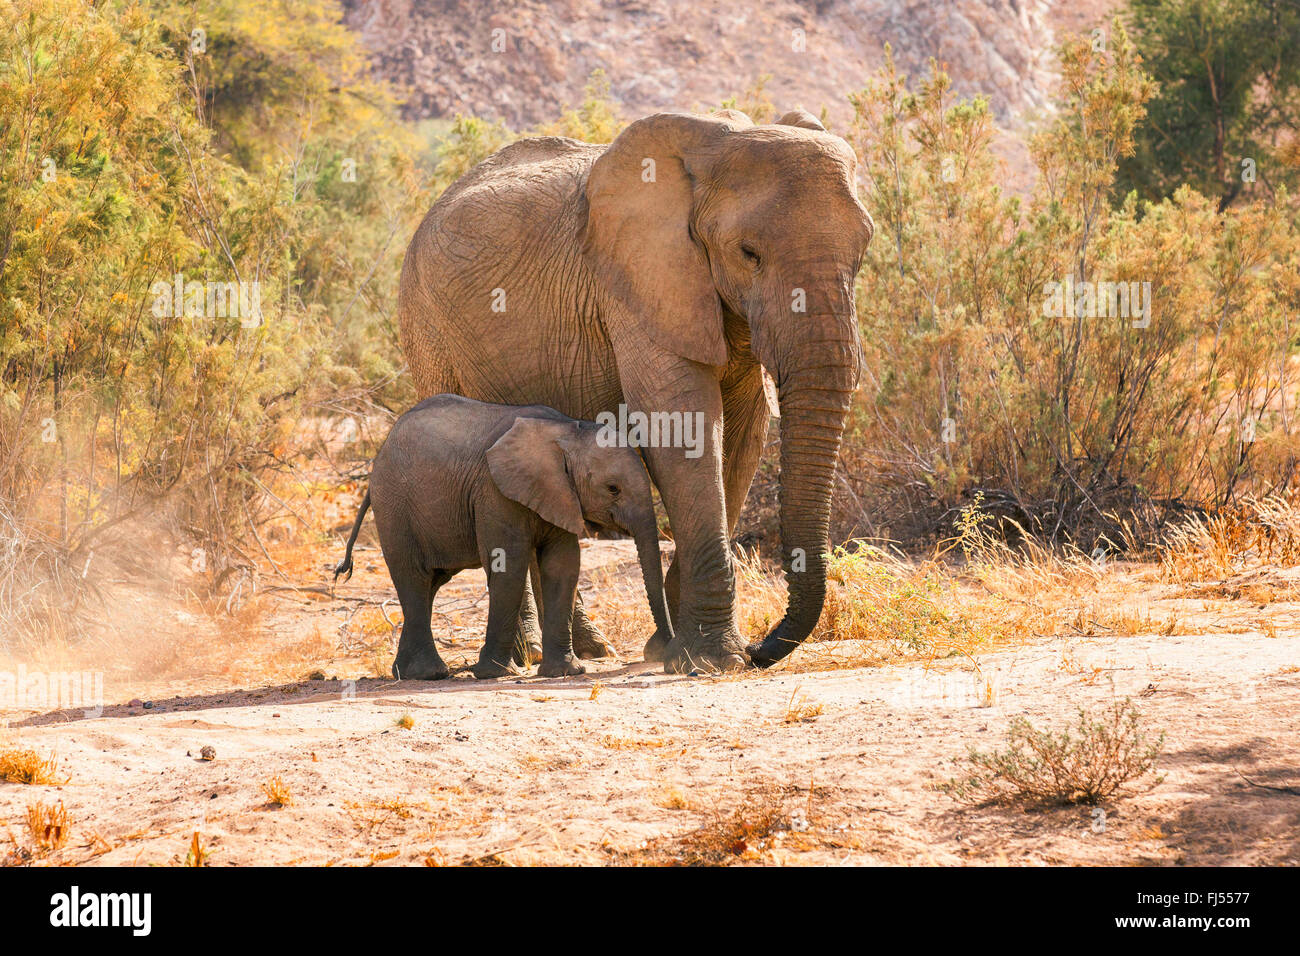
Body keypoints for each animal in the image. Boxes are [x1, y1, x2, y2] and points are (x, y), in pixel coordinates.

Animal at [333, 394, 673, 680]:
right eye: (613, 489)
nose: (662, 649)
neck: (567, 432)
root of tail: (378, 460)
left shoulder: (561, 493)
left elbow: (563, 566)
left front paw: (565, 672)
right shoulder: (494, 491)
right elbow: (508, 565)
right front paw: (496, 674)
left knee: (430, 584)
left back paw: (403, 673)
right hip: (395, 509)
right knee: (414, 579)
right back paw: (431, 674)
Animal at [397, 107, 872, 674]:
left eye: (863, 251)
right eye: (748, 253)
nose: (764, 648)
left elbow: (740, 442)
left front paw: (677, 649)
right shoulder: (637, 284)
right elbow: (683, 427)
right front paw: (710, 659)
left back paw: (587, 649)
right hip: (427, 326)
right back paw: (524, 655)